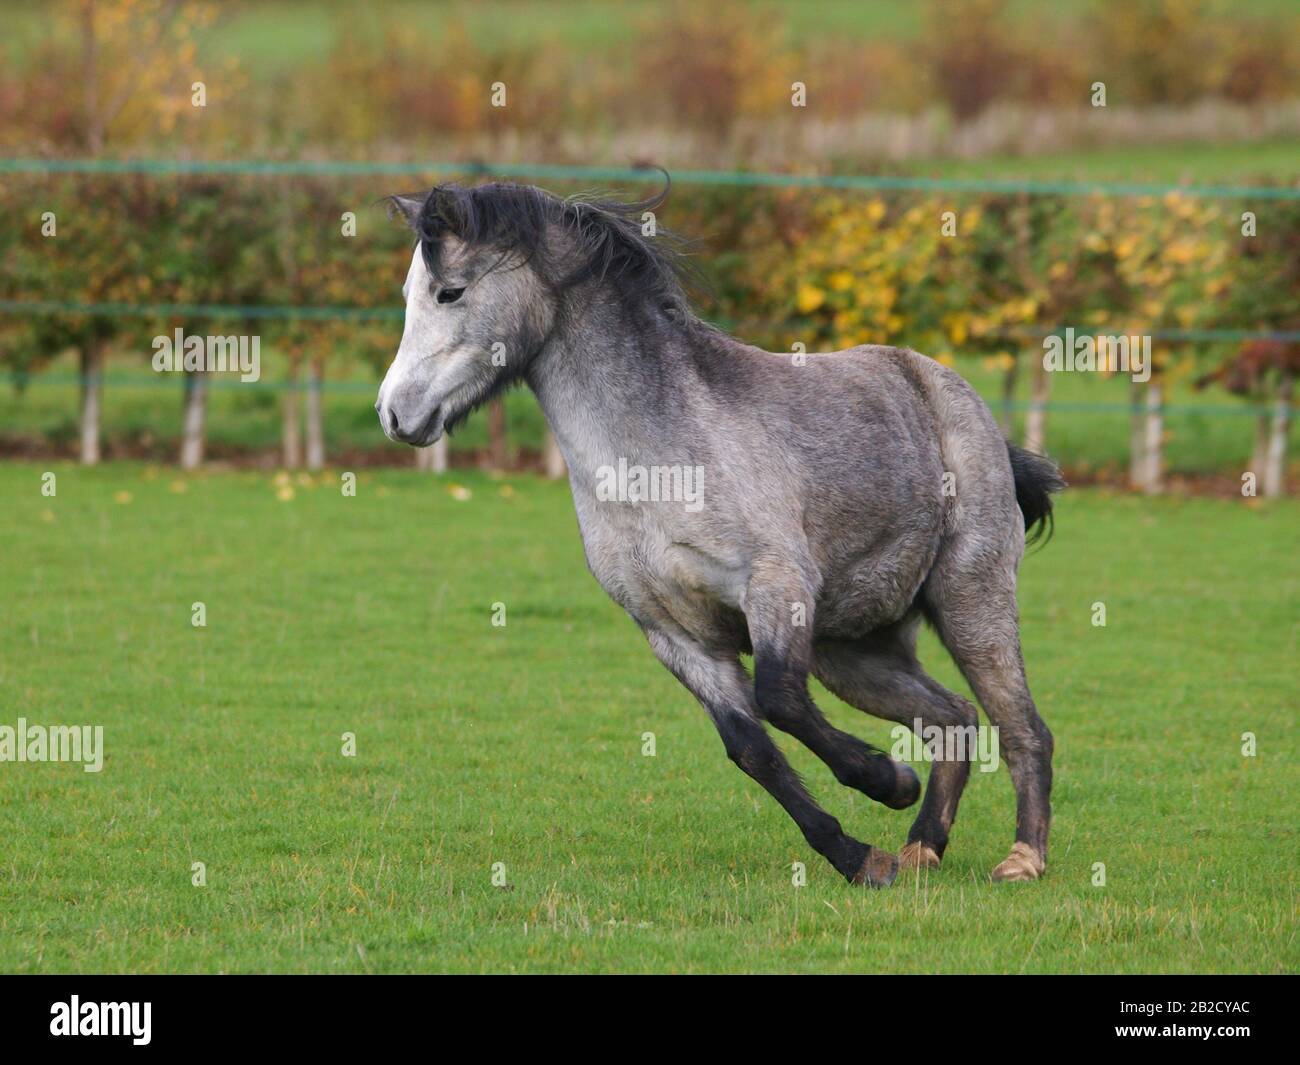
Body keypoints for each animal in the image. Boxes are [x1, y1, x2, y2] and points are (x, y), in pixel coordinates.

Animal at [375, 180, 1064, 886]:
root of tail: (956, 398)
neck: (655, 461)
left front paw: (886, 780)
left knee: (1022, 726)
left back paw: (1022, 857)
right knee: (953, 718)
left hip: (969, 599)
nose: (395, 413)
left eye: (450, 292)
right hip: (853, 651)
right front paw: (860, 856)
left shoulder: (775, 587)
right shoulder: (677, 635)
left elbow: (779, 699)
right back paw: (921, 848)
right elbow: (751, 747)